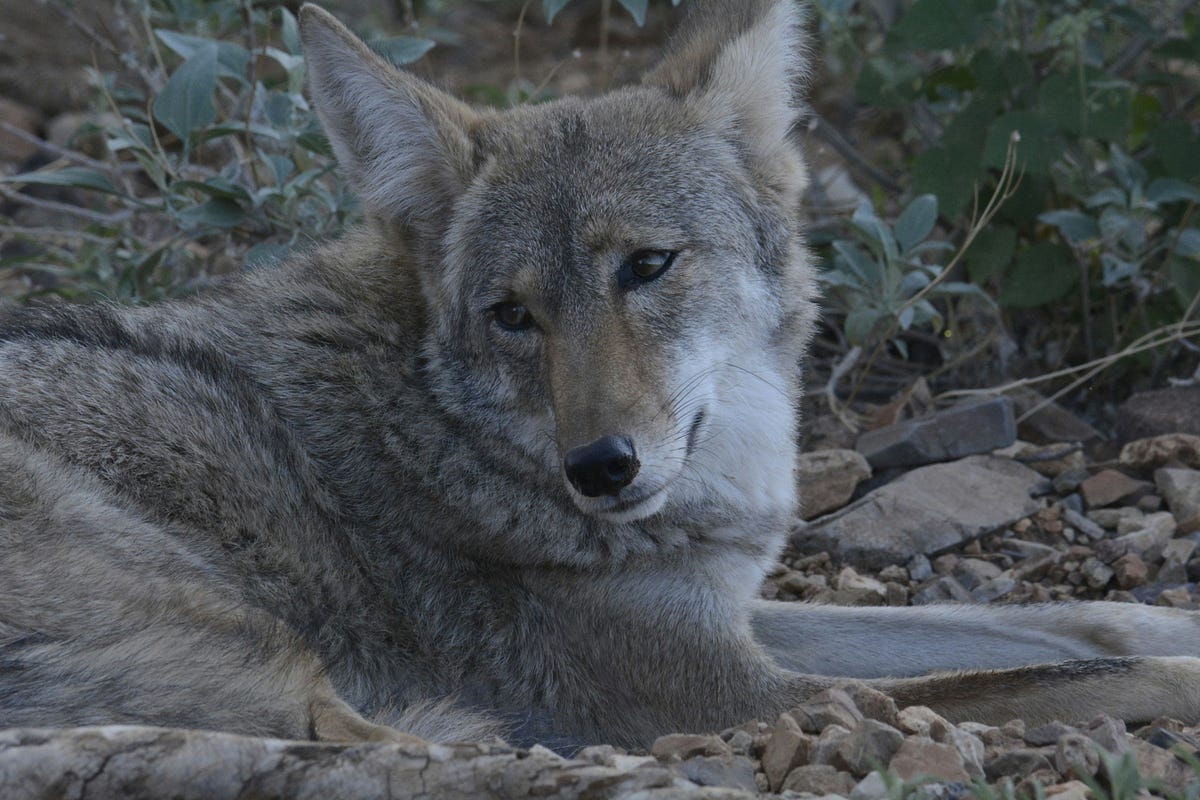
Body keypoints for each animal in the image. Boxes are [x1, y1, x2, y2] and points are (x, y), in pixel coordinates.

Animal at [1, 0, 1199, 753]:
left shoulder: (725, 614)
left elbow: (1095, 629)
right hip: (242, 618)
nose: (601, 468)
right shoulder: (723, 686)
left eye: (647, 266)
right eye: (513, 316)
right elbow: (1051, 679)